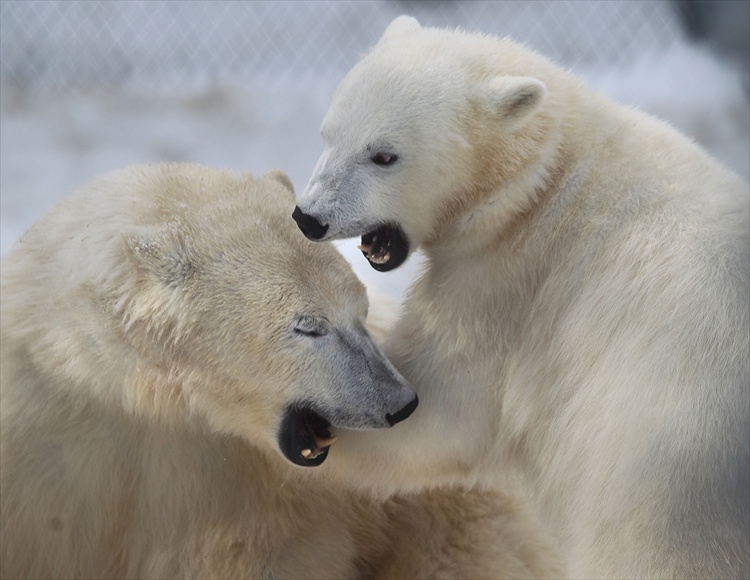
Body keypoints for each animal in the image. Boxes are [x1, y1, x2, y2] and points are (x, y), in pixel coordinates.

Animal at [292, 16, 750, 579]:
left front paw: (311, 429)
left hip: (662, 472)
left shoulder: (509, 287)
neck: (542, 182)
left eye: (384, 155)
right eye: (328, 133)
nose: (309, 217)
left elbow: (438, 411)